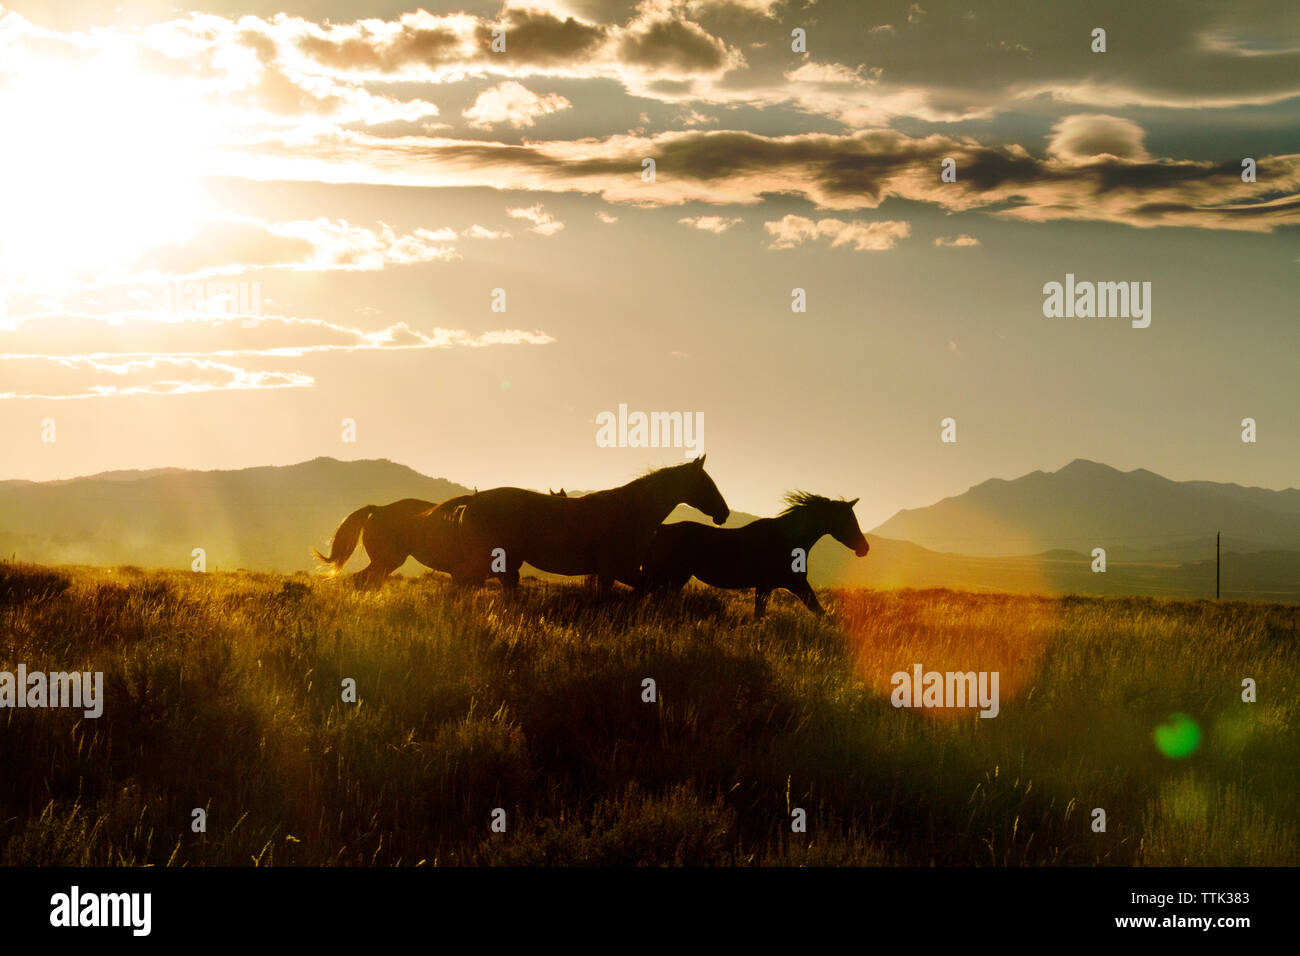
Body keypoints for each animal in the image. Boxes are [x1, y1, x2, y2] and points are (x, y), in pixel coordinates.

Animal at [448, 456, 729, 593]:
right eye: (705, 482)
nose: (723, 513)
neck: (632, 511)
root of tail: (471, 501)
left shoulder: (616, 572)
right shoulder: (616, 570)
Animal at [639, 491, 869, 618]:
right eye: (847, 520)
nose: (864, 548)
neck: (787, 540)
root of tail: (661, 528)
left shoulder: (771, 588)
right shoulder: (788, 585)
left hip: (674, 579)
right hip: (663, 578)